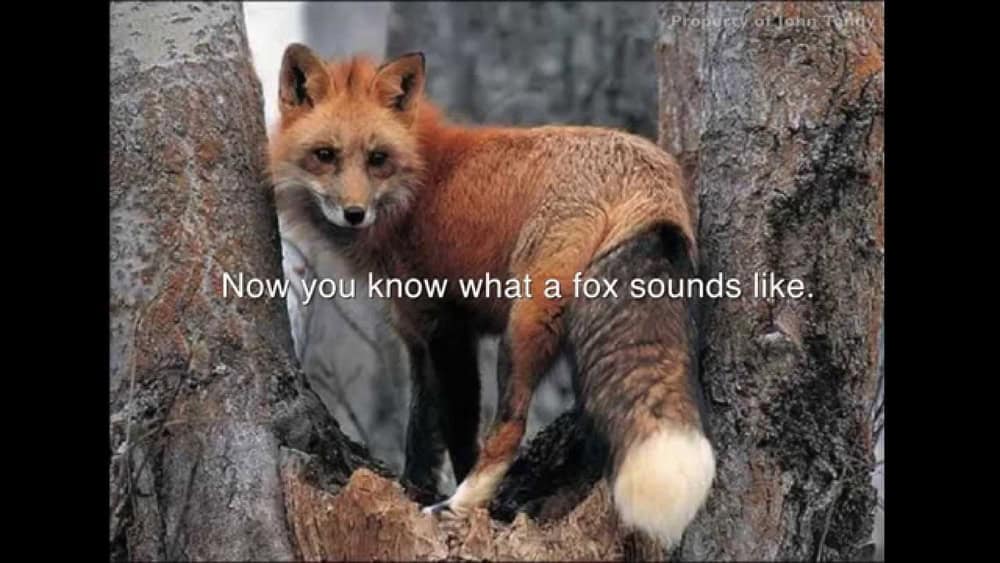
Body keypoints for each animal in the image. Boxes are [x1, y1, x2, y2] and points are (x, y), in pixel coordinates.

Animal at [267, 44, 715, 549]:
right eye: (325, 155)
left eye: (377, 158)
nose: (354, 213)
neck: (419, 185)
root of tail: (648, 169)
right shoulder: (416, 337)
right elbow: (421, 433)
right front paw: (412, 491)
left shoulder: (448, 330)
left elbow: (460, 431)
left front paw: (449, 503)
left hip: (524, 326)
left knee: (510, 427)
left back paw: (459, 504)